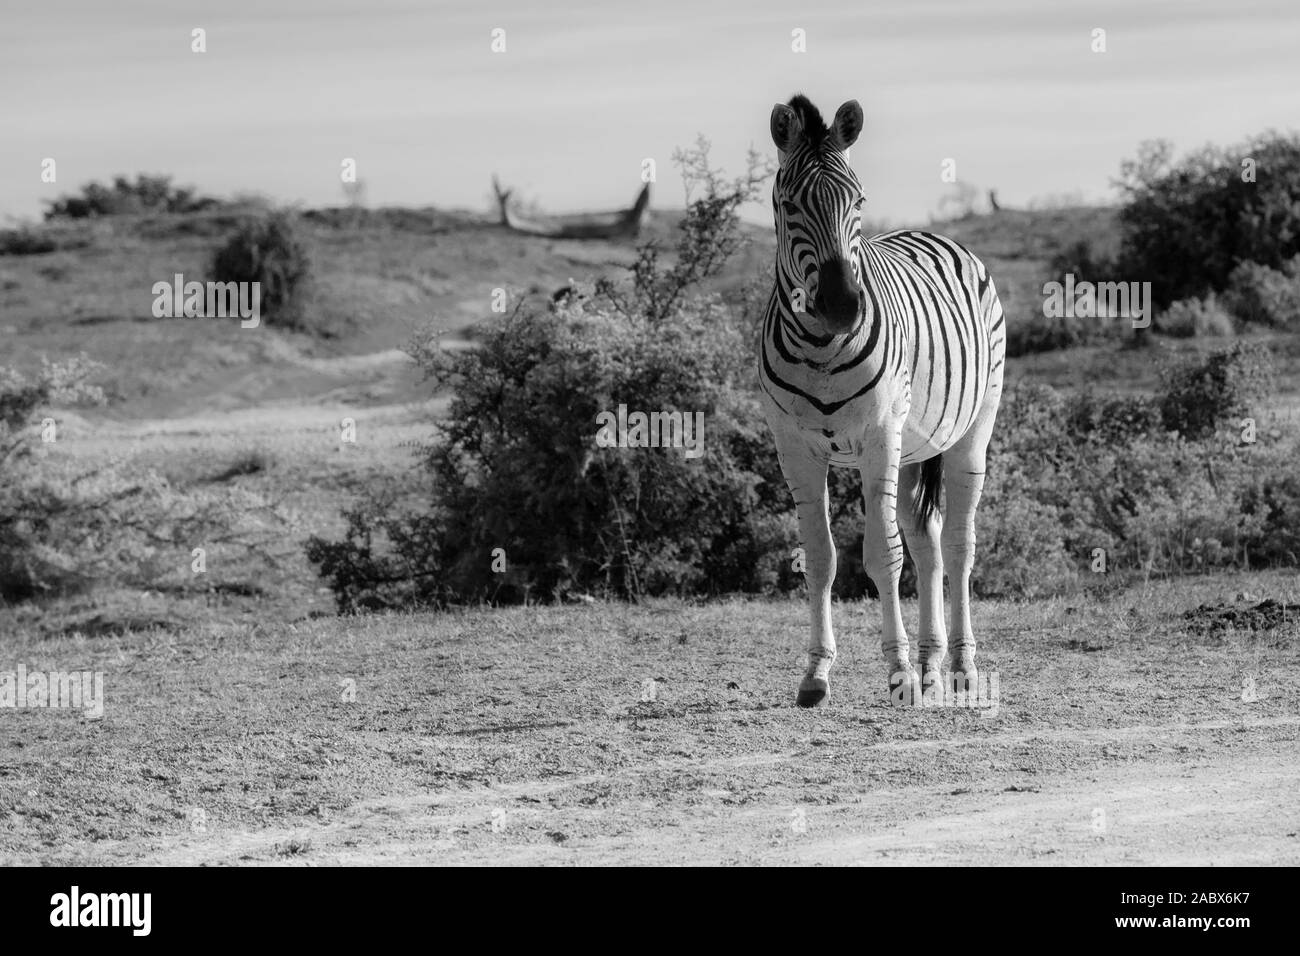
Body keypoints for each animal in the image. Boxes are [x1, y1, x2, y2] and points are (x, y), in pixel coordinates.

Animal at [759, 94, 1006, 707]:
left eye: (859, 200)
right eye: (789, 204)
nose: (843, 306)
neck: (821, 349)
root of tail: (935, 233)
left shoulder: (878, 436)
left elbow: (881, 554)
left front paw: (897, 673)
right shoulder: (794, 447)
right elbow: (821, 557)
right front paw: (816, 673)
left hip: (970, 431)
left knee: (959, 544)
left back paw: (962, 668)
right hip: (916, 445)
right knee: (929, 542)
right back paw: (933, 665)